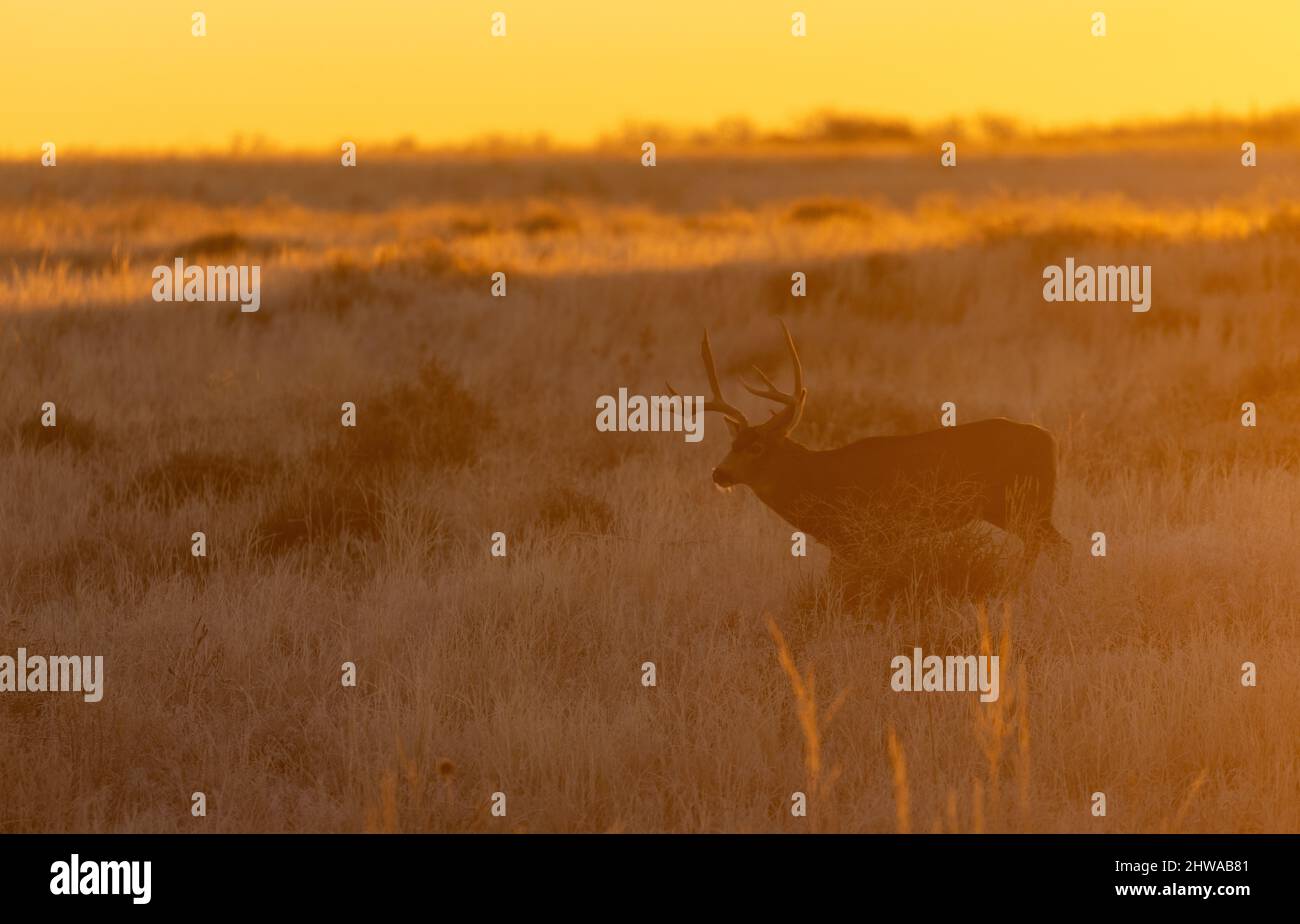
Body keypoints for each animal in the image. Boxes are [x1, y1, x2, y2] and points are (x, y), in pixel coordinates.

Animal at [669, 322, 1068, 583]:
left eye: (757, 447)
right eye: (731, 444)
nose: (719, 473)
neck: (819, 482)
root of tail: (1048, 438)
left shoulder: (863, 532)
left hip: (1020, 501)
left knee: (1053, 546)